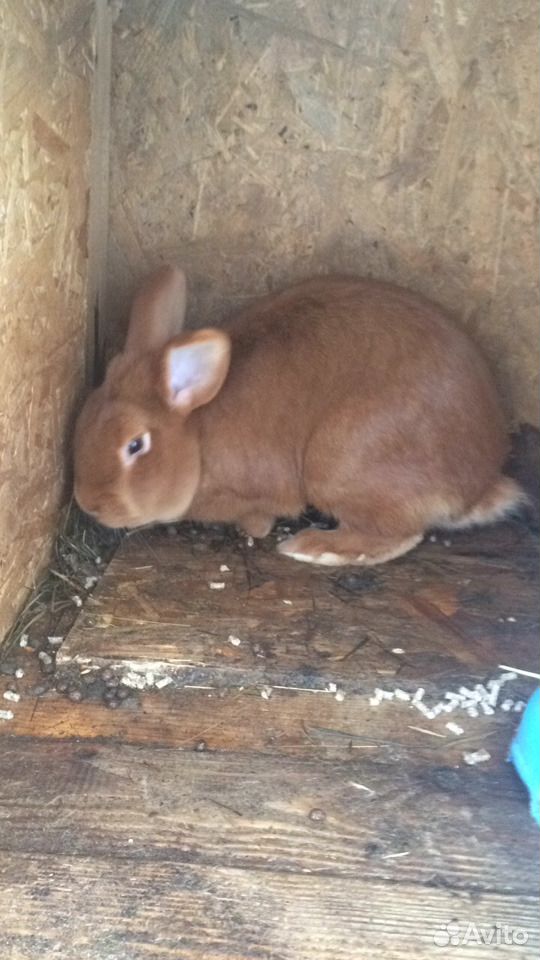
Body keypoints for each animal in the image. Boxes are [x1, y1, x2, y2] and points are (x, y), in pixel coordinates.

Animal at [73, 265, 526, 566]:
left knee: (397, 533)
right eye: (84, 420)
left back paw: (314, 548)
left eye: (135, 445)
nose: (88, 503)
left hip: (340, 461)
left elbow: (257, 517)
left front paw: (255, 530)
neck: (197, 437)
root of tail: (479, 484)